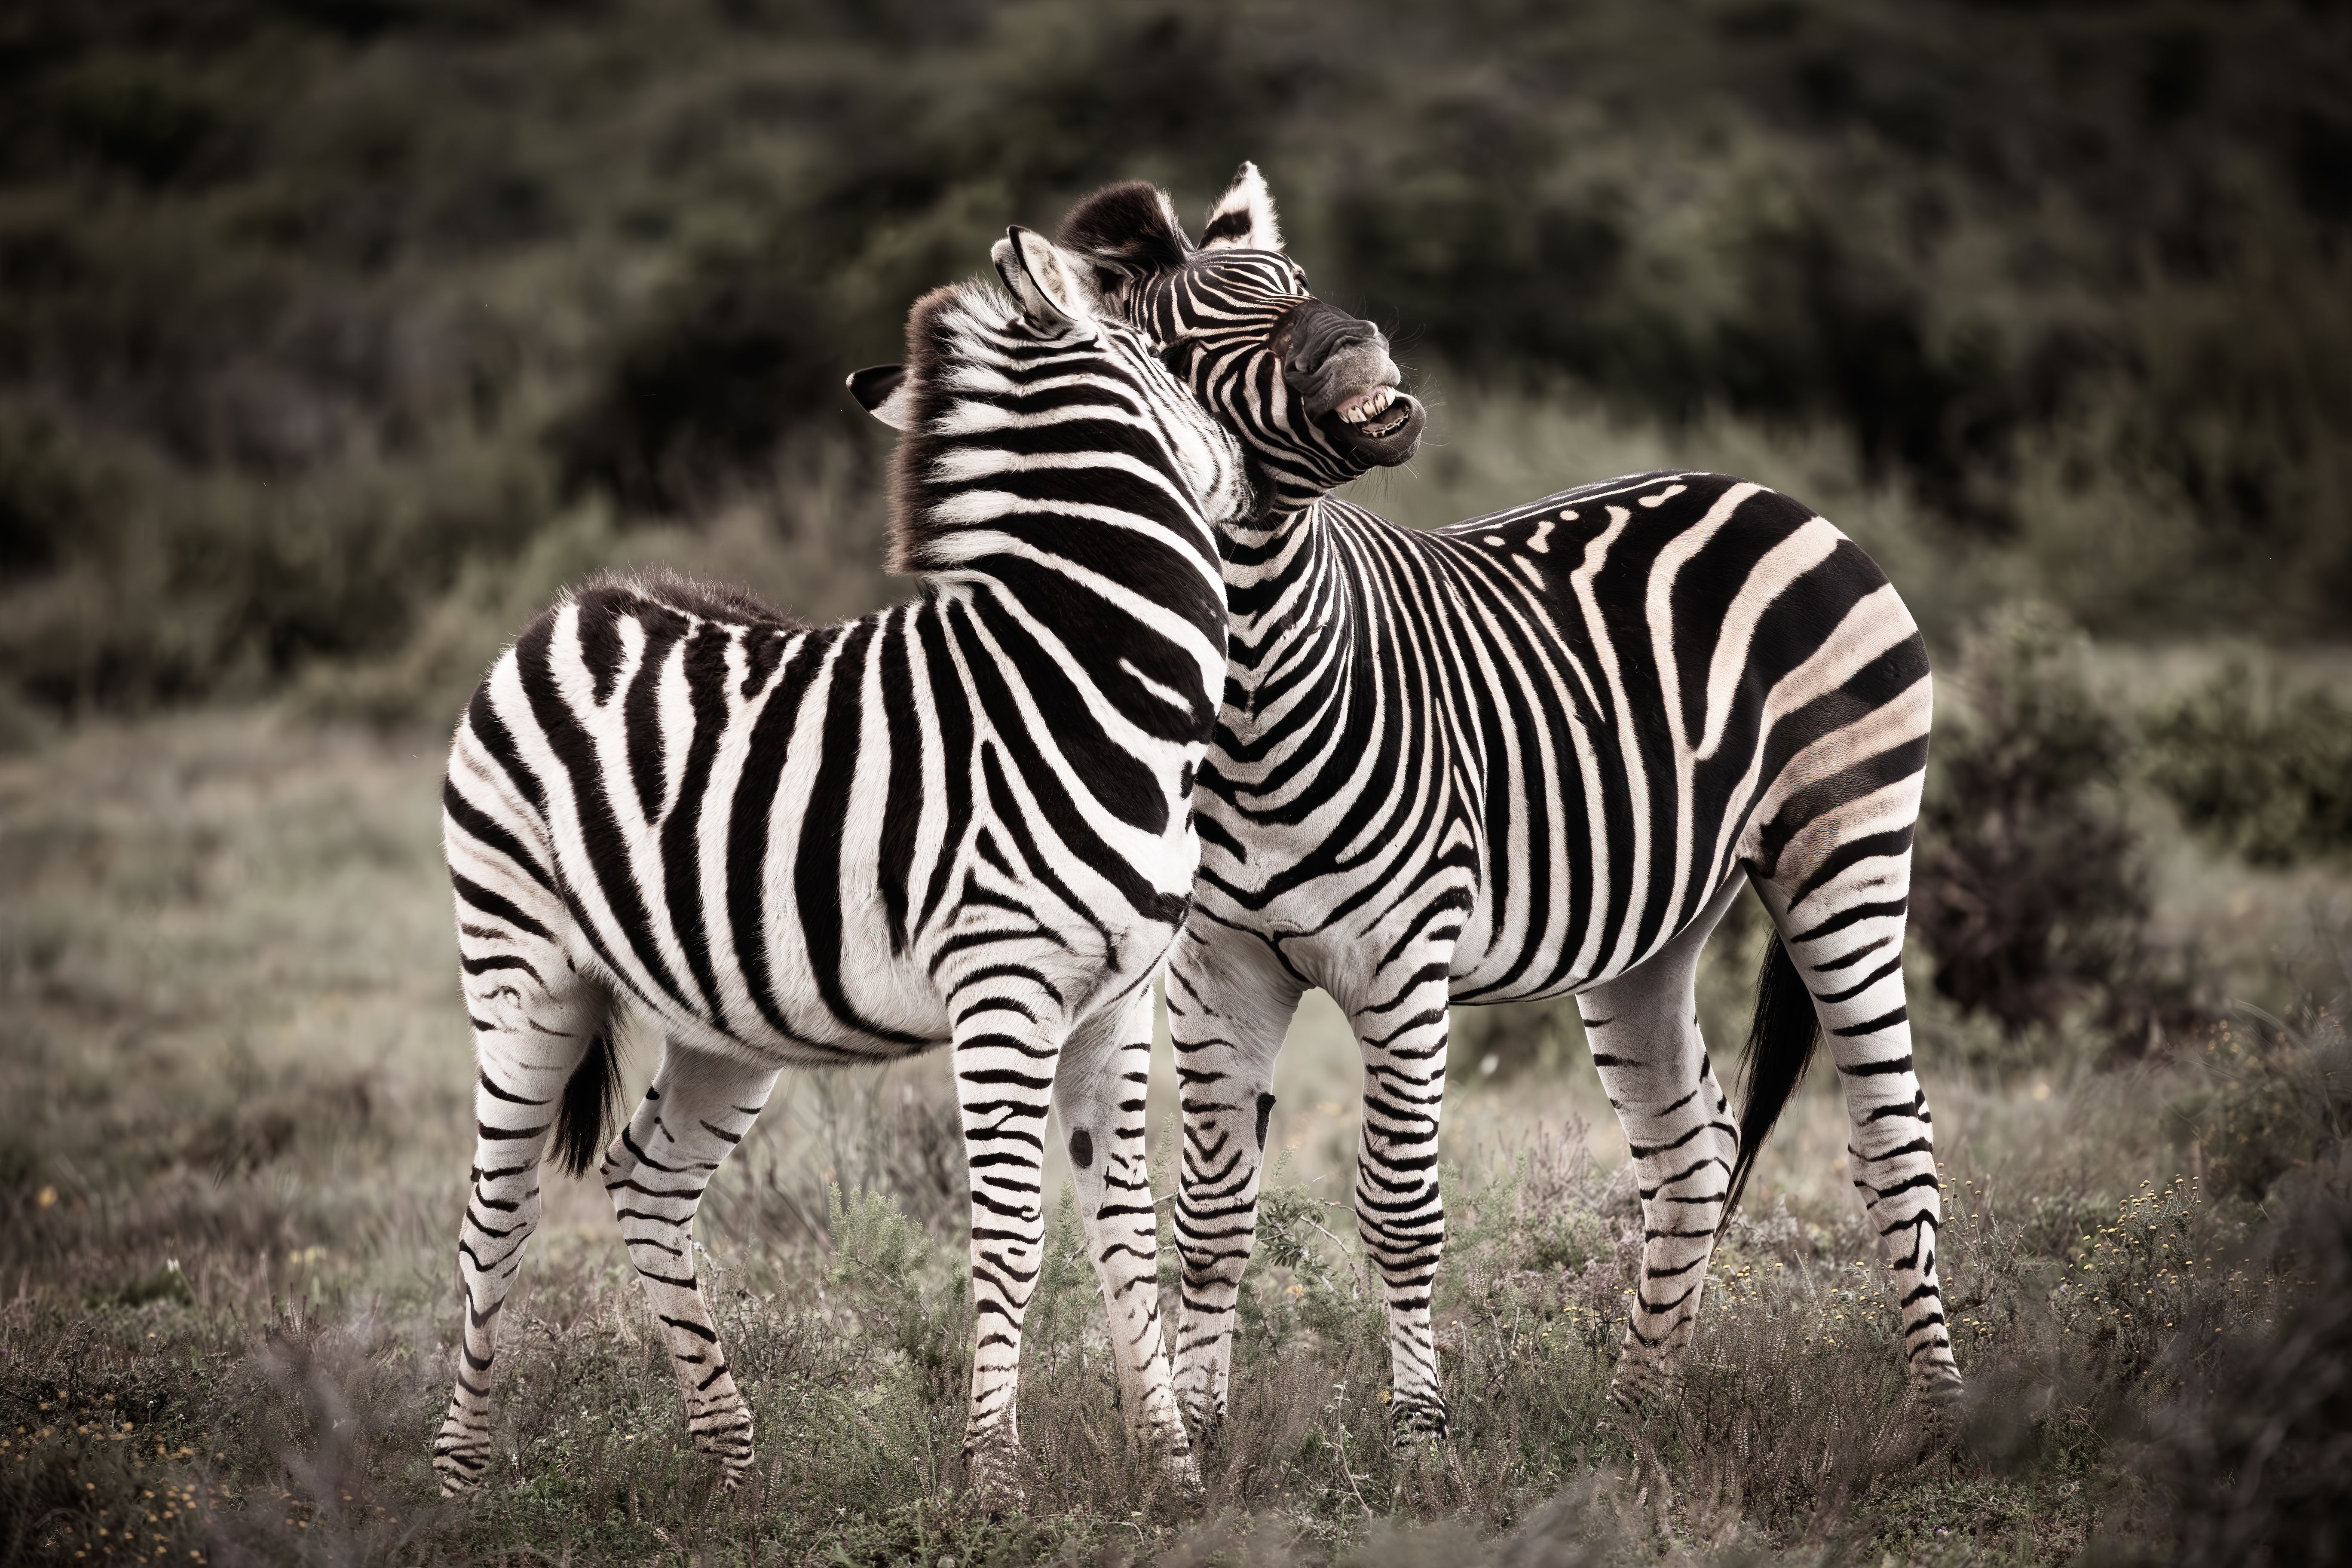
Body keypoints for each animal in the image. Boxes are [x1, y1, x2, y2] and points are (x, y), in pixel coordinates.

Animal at [432, 225, 1245, 1499]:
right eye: (1167, 362)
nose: (1252, 479)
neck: (1093, 682)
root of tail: (579, 600)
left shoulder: (1118, 1000)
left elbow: (1125, 1231)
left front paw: (1170, 1472)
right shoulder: (1004, 991)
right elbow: (1012, 1236)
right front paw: (994, 1479)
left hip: (722, 1018)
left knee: (643, 1179)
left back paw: (734, 1464)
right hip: (520, 973)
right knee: (495, 1218)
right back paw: (460, 1478)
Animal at [1046, 165, 1965, 1440]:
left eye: (1293, 281)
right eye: (1181, 351)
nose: (1352, 340)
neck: (1249, 698)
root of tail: (1776, 496)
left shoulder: (1402, 959)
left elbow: (1398, 1208)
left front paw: (1420, 1438)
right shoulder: (1218, 967)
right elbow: (1212, 1213)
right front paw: (1208, 1432)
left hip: (1848, 853)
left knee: (1892, 1132)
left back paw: (1939, 1412)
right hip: (1654, 924)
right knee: (1691, 1148)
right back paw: (1636, 1409)